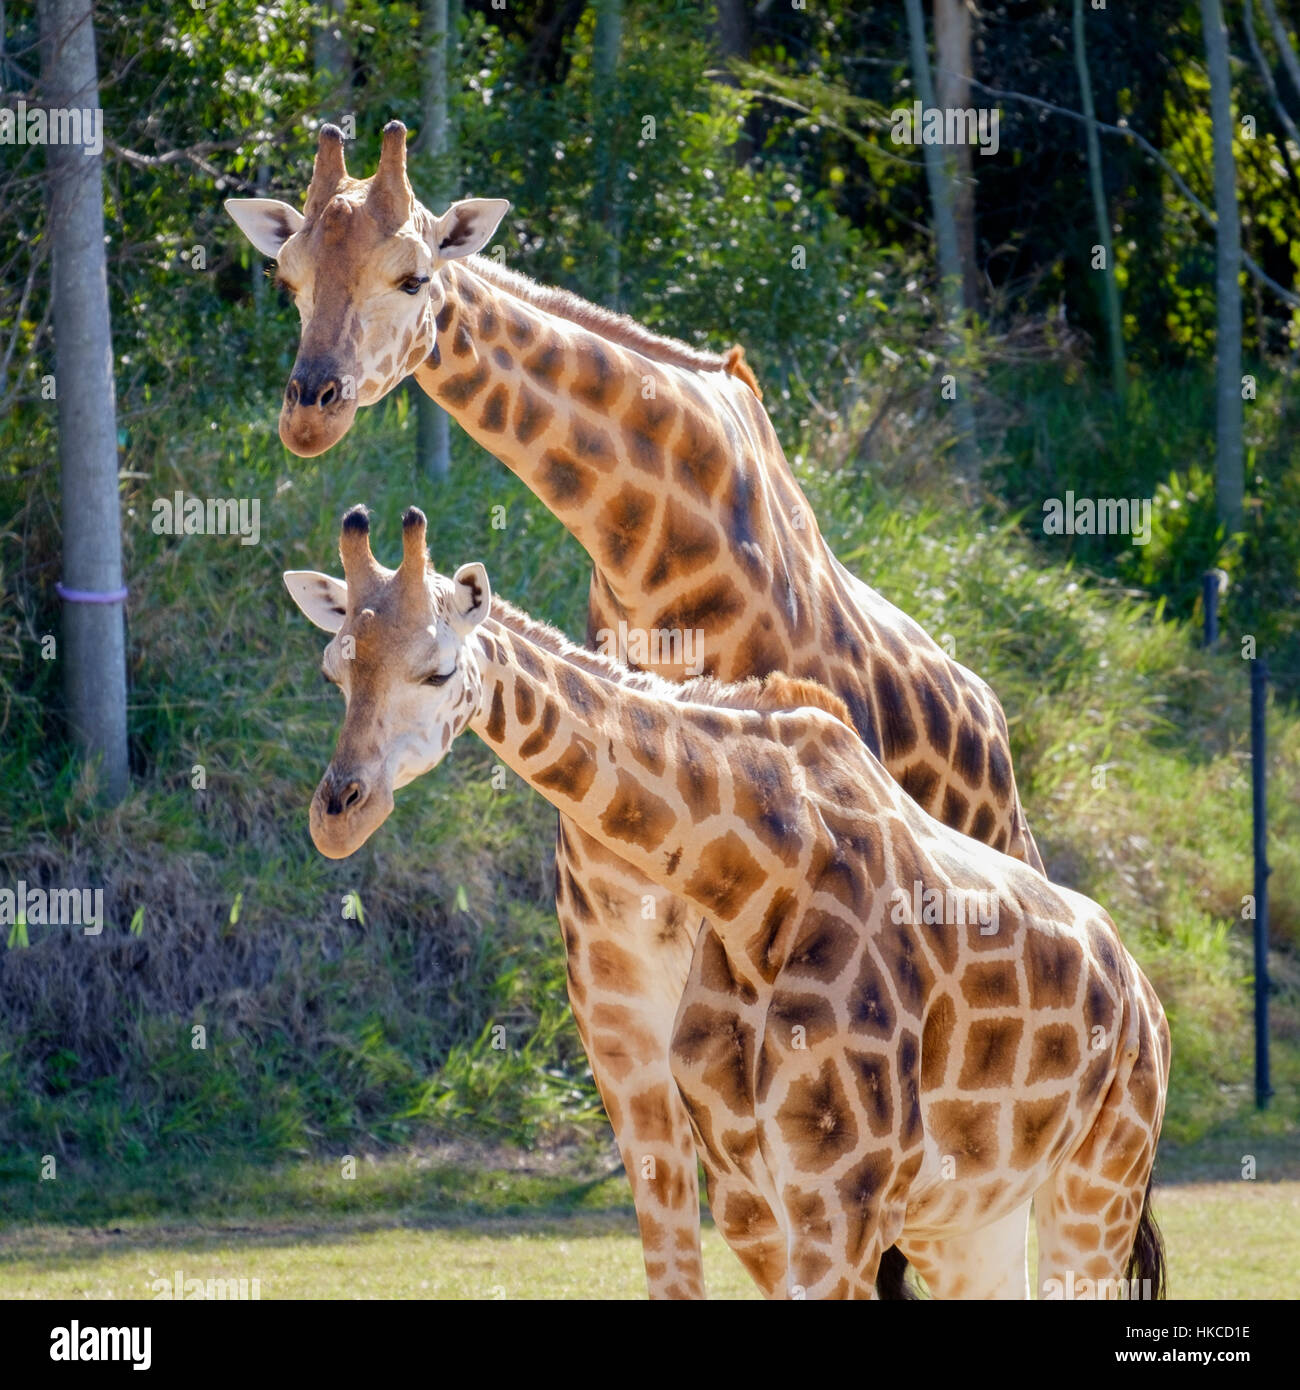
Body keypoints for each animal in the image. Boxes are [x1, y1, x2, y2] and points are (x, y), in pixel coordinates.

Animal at [229, 121, 1046, 1298]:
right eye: (287, 276)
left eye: (413, 274)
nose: (310, 408)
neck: (655, 568)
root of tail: (993, 728)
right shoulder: (616, 1005)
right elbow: (671, 1253)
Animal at [284, 506, 1170, 1301]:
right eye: (335, 670)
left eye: (437, 671)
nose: (338, 814)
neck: (750, 881)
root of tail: (1140, 990)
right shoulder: (751, 1200)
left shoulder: (840, 1200)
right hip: (970, 1216)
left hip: (1100, 1181)